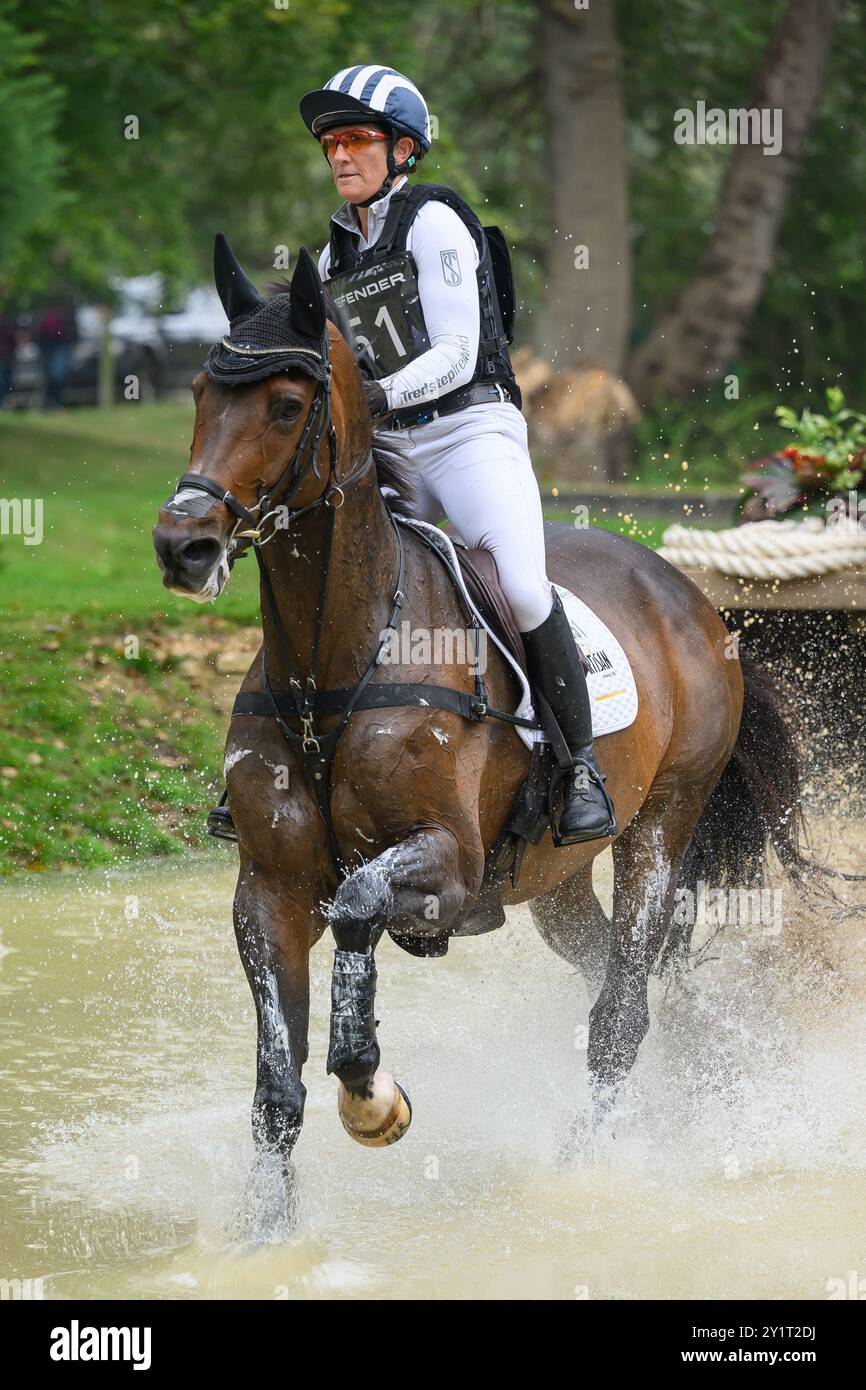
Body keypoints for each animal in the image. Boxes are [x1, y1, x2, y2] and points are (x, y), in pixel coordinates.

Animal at [153, 238, 806, 1204]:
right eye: (201, 393)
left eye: (285, 405)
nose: (182, 546)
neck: (333, 669)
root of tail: (690, 596)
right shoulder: (267, 889)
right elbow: (276, 1091)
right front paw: (262, 1228)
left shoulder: (451, 867)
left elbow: (358, 908)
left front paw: (371, 1093)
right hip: (557, 880)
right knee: (628, 977)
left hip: (663, 821)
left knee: (621, 1011)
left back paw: (584, 1171)